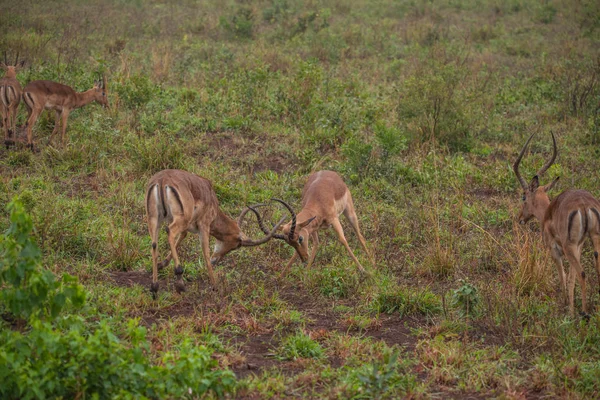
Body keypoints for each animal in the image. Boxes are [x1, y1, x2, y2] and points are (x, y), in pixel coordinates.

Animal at [148, 169, 290, 296]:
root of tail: (162, 181)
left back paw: (154, 287)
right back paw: (180, 284)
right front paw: (215, 286)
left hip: (154, 219)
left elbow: (183, 235)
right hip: (177, 219)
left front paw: (161, 264)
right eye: (237, 245)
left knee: (154, 243)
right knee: (170, 232)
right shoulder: (204, 225)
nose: (216, 260)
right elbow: (205, 252)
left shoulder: (188, 225)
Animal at [512, 133, 600, 318]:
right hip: (594, 239)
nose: (520, 218)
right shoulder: (579, 247)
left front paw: (567, 308)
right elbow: (571, 279)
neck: (548, 212)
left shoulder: (555, 250)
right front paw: (571, 310)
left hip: (569, 246)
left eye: (523, 196)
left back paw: (584, 313)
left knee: (582, 273)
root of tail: (584, 205)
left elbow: (563, 277)